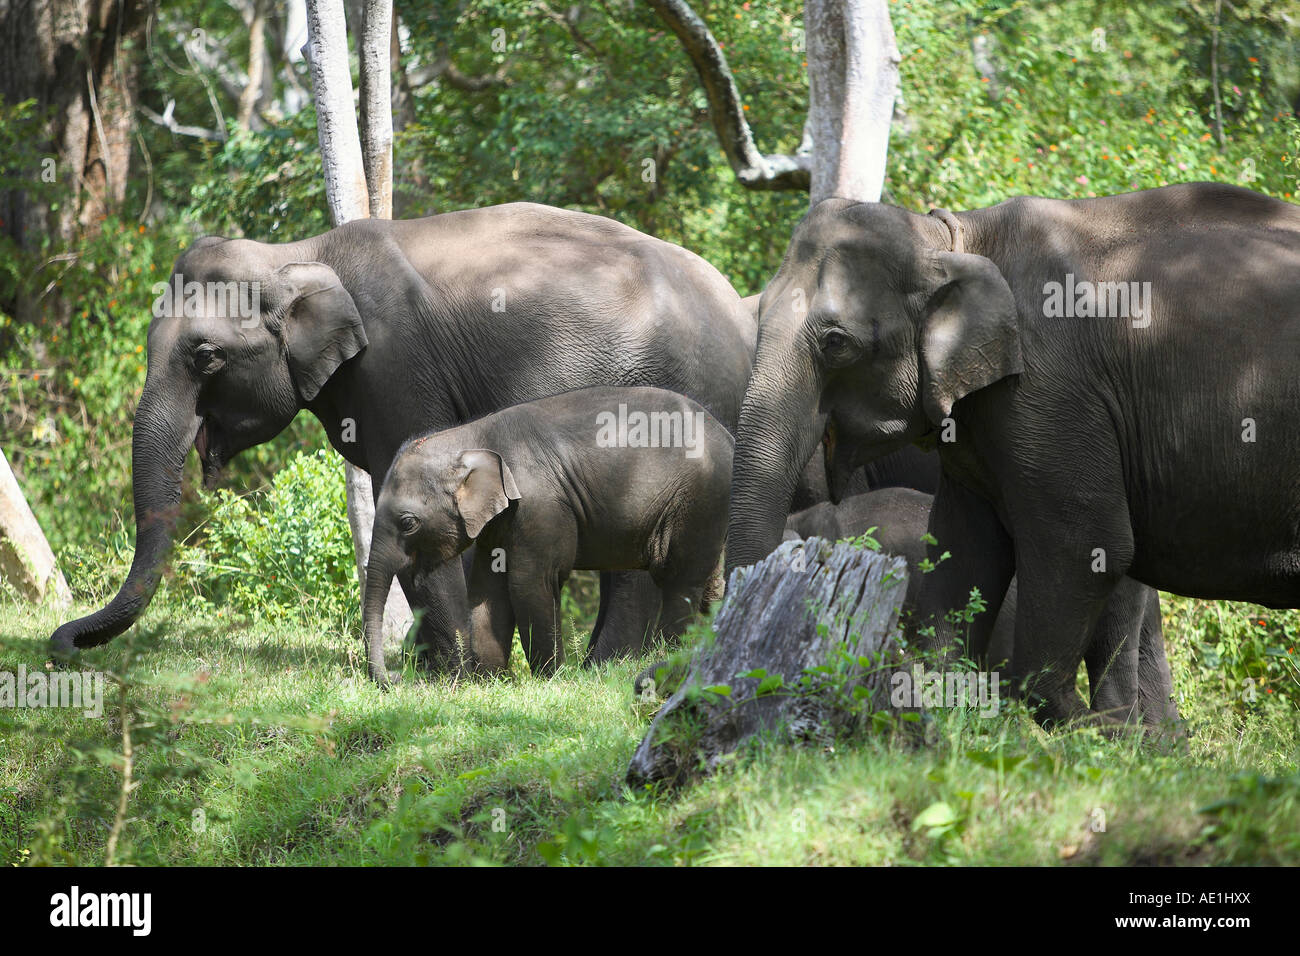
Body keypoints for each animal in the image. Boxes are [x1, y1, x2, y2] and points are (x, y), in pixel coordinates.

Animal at [364, 386, 733, 683]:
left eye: (408, 523)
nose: (397, 677)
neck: (471, 435)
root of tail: (727, 435)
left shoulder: (541, 504)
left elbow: (529, 583)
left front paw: (550, 678)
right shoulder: (500, 522)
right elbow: (488, 587)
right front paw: (490, 682)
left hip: (700, 499)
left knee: (680, 580)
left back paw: (671, 653)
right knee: (708, 582)